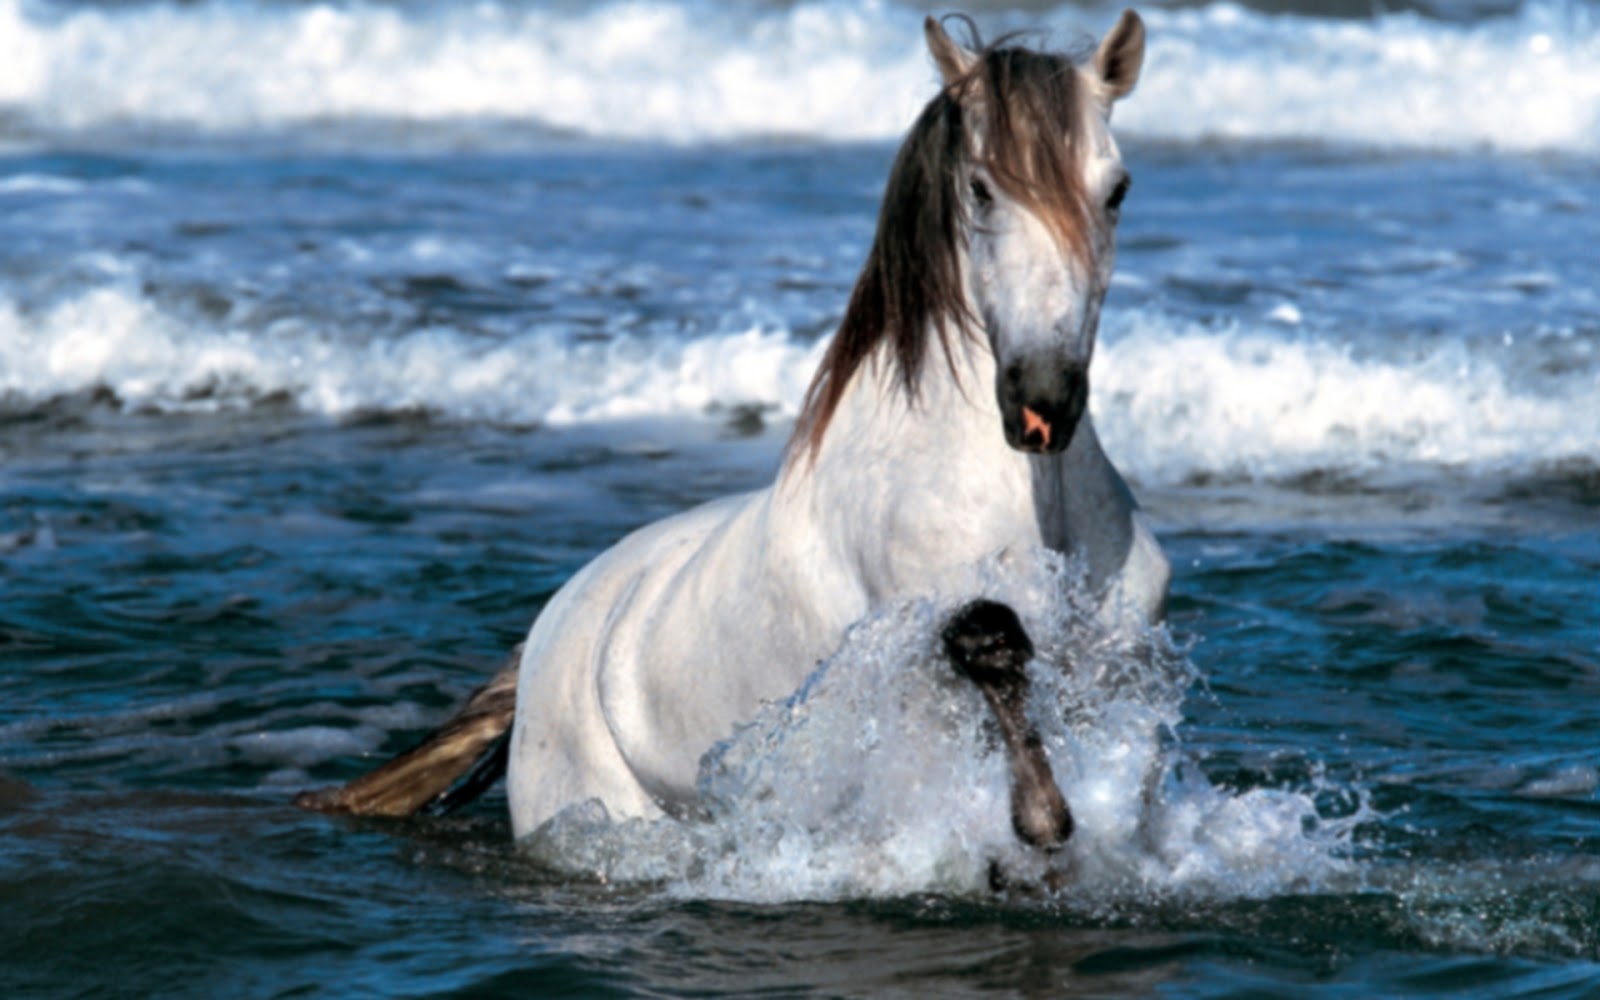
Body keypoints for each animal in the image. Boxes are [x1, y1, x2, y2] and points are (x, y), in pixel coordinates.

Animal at [298, 10, 1169, 854]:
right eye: (982, 190)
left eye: (1119, 190)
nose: (1042, 400)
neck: (1032, 504)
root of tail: (548, 632)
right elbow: (988, 647)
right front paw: (1040, 819)